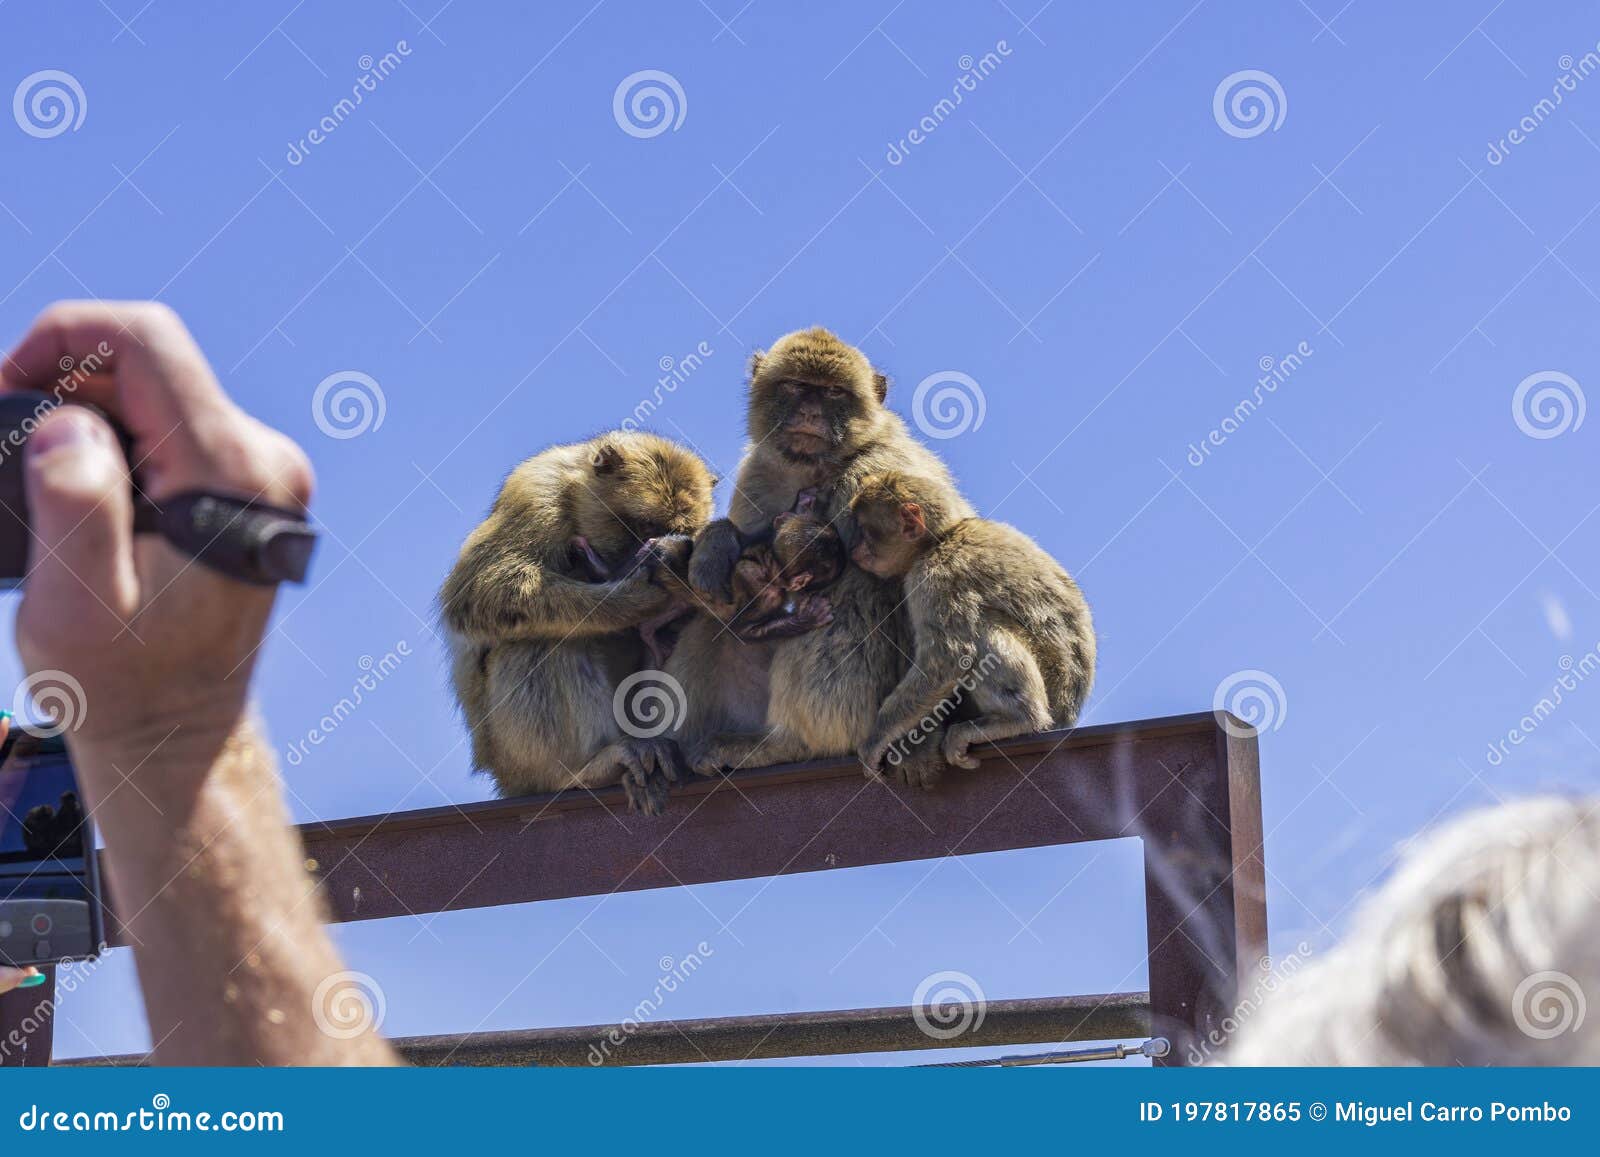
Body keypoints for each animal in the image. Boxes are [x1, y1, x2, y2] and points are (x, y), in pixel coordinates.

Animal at [439, 432, 715, 814]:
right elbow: (484, 590)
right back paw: (585, 770)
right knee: (541, 643)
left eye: (680, 529)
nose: (656, 545)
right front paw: (632, 599)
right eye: (645, 525)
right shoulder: (537, 494)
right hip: (513, 759)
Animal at [683, 327, 975, 779]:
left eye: (834, 392)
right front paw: (716, 544)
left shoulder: (874, 472)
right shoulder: (760, 472)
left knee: (855, 586)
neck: (816, 468)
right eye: (795, 386)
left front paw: (920, 746)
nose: (808, 413)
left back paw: (791, 744)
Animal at [848, 471, 1096, 780]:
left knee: (983, 632)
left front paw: (877, 737)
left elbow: (949, 657)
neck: (942, 538)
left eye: (864, 530)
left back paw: (1020, 719)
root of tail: (1067, 716)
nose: (854, 550)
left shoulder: (934, 576)